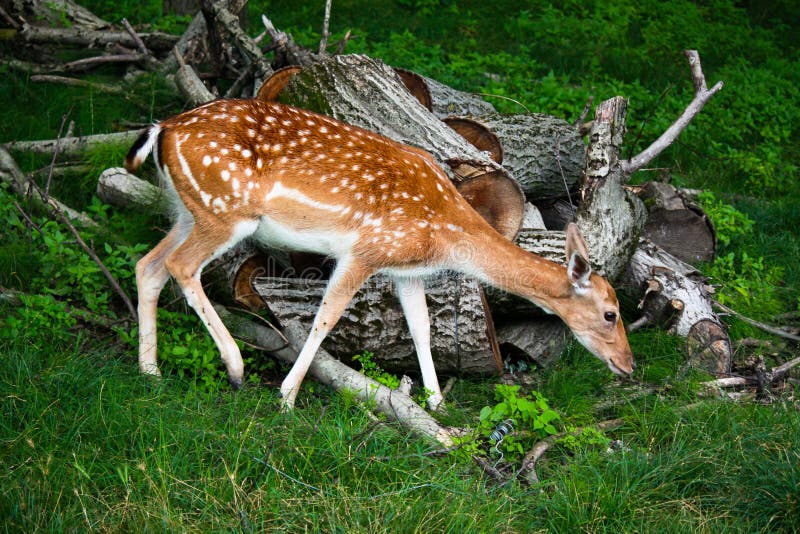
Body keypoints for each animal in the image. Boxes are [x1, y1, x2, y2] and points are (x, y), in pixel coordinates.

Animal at [125, 98, 634, 411]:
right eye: (610, 313)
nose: (629, 365)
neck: (444, 232)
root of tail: (162, 128)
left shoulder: (405, 269)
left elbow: (422, 328)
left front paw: (437, 404)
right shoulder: (366, 250)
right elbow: (325, 318)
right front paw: (287, 396)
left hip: (188, 209)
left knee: (148, 264)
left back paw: (150, 371)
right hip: (225, 211)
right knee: (179, 266)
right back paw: (234, 367)